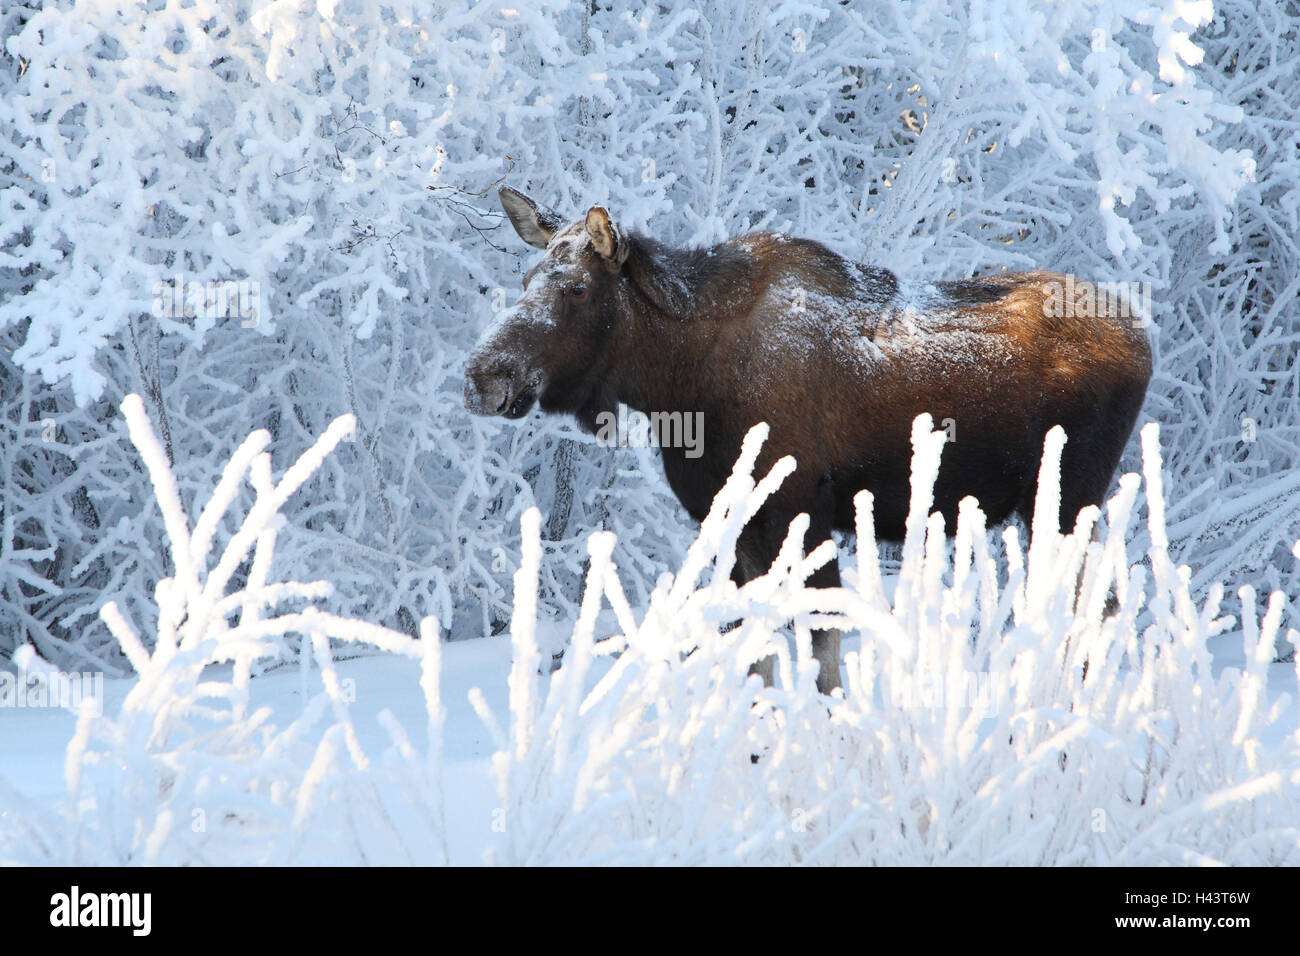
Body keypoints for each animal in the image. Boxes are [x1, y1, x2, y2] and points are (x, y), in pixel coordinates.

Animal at [464, 185, 1153, 694]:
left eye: (576, 287)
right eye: (526, 278)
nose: (482, 376)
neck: (677, 383)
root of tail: (1144, 340)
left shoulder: (800, 509)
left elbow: (821, 650)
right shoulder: (735, 518)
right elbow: (758, 648)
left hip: (1069, 497)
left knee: (1098, 603)